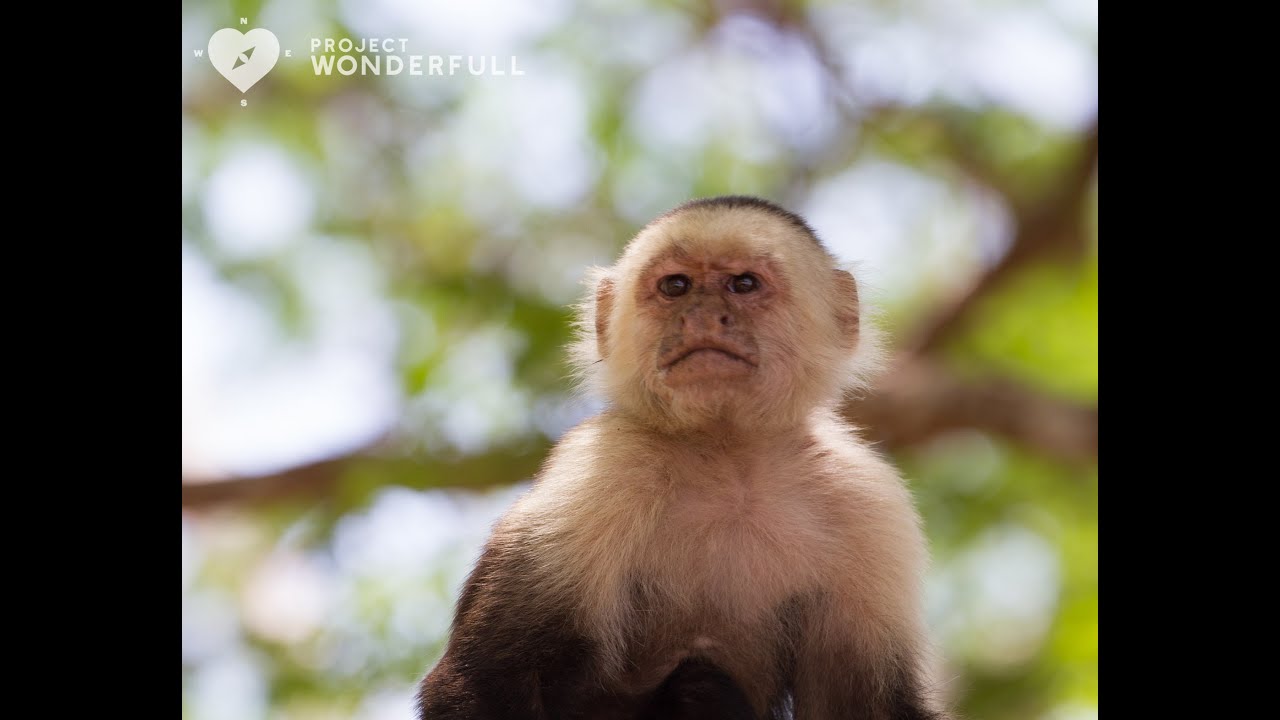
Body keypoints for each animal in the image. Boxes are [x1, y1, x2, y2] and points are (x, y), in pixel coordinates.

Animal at [418, 196, 951, 719]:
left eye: (743, 284)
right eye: (675, 286)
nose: (701, 318)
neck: (729, 463)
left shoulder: (866, 498)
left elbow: (868, 706)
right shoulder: (604, 463)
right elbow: (484, 679)